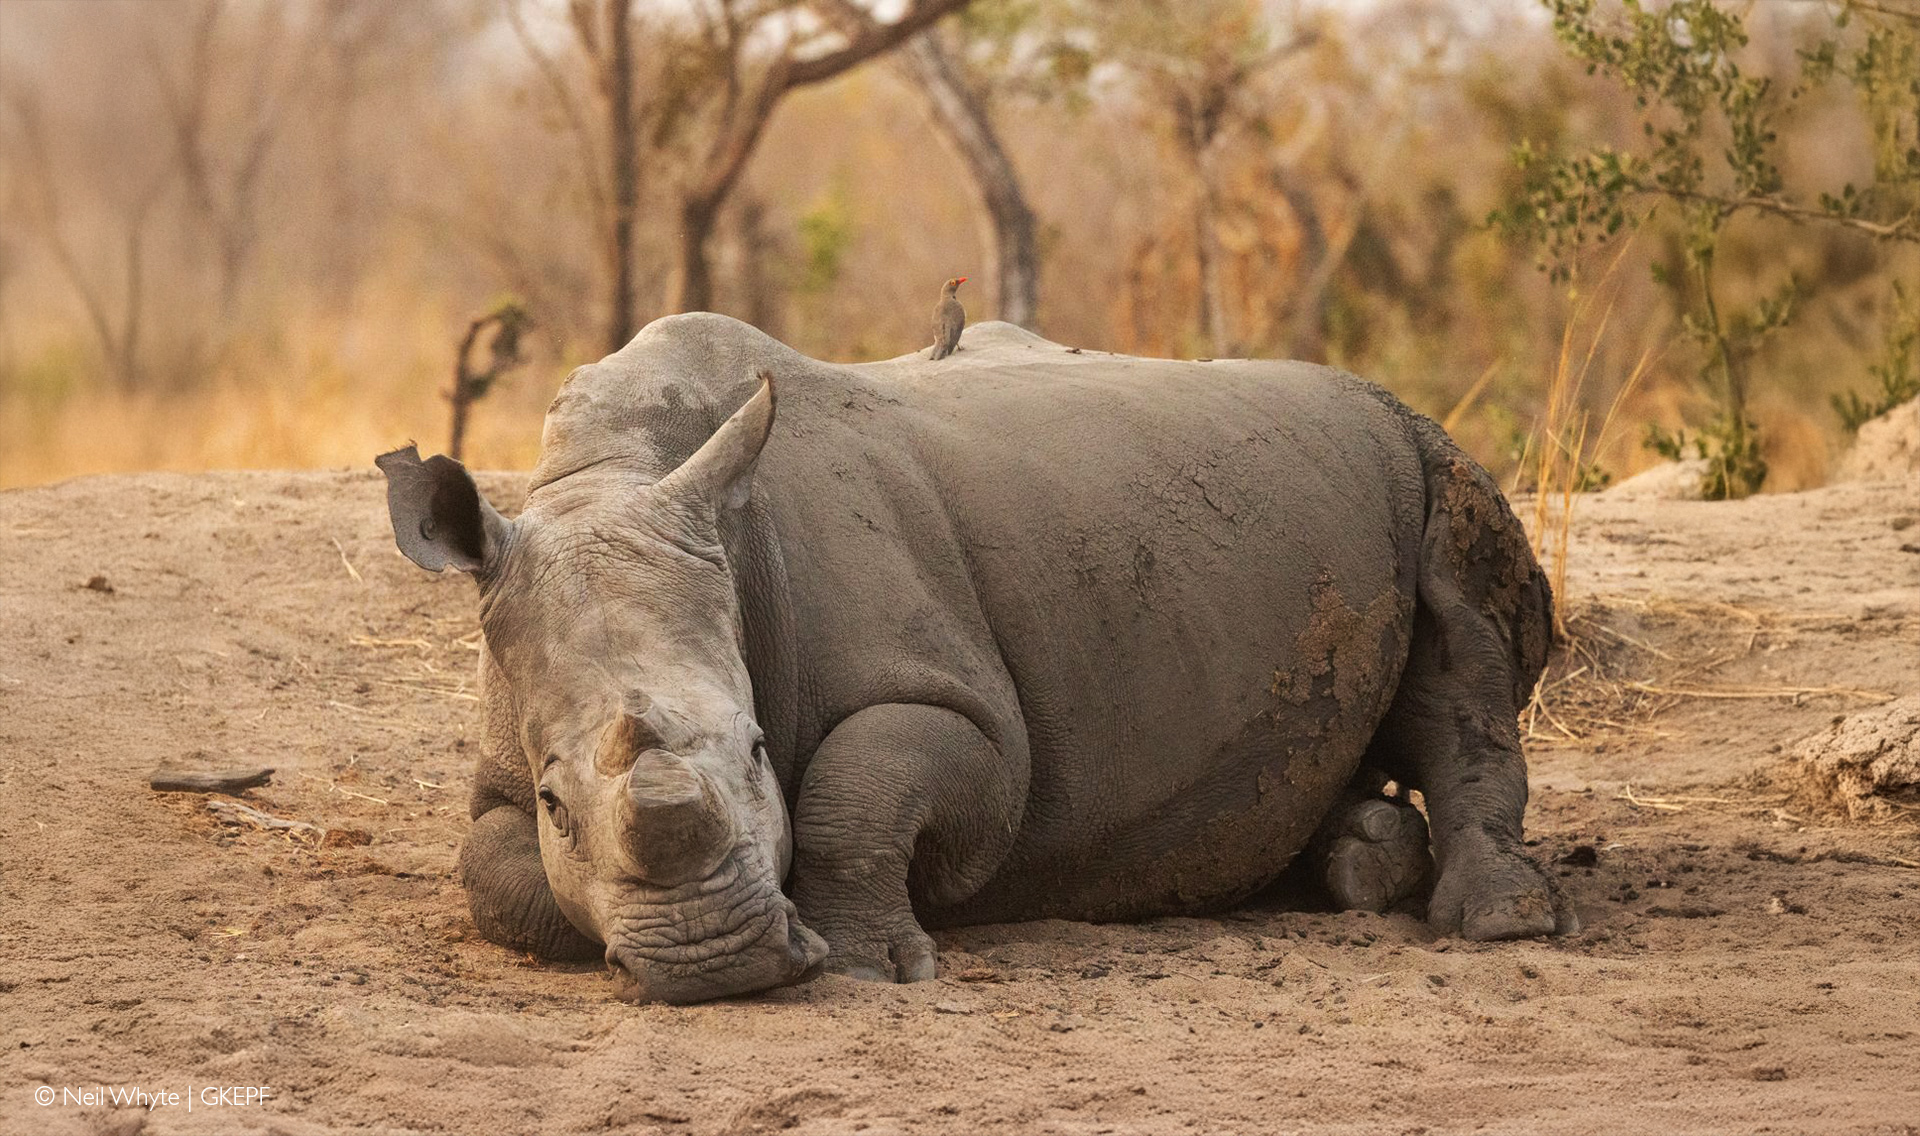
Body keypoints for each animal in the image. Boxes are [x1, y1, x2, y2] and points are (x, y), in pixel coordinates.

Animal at [377, 314, 1566, 1004]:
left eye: (760, 751)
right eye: (553, 799)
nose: (715, 959)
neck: (614, 479)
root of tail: (1381, 398)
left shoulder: (976, 720)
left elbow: (868, 779)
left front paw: (871, 965)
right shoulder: (501, 755)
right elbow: (496, 875)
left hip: (1426, 454)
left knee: (1465, 654)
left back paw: (1501, 921)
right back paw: (1361, 860)